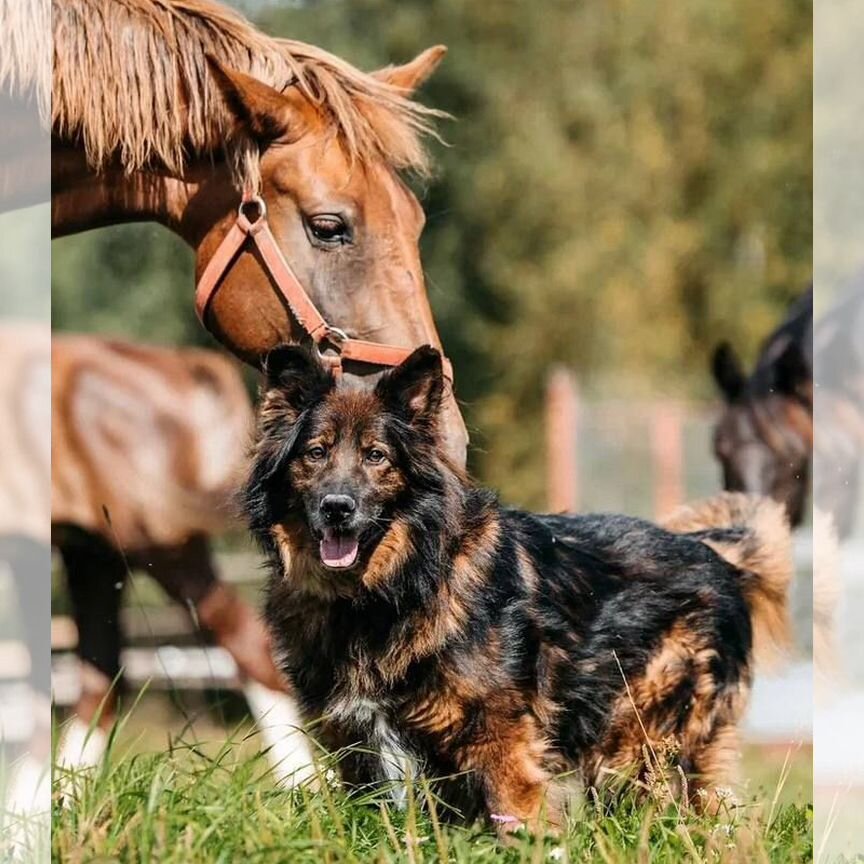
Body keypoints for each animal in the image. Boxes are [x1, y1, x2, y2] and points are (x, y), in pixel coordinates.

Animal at [246, 346, 792, 836]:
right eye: (316, 453)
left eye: (375, 456)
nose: (337, 507)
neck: (387, 590)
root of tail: (716, 556)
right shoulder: (356, 743)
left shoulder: (498, 738)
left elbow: (519, 816)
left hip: (645, 742)